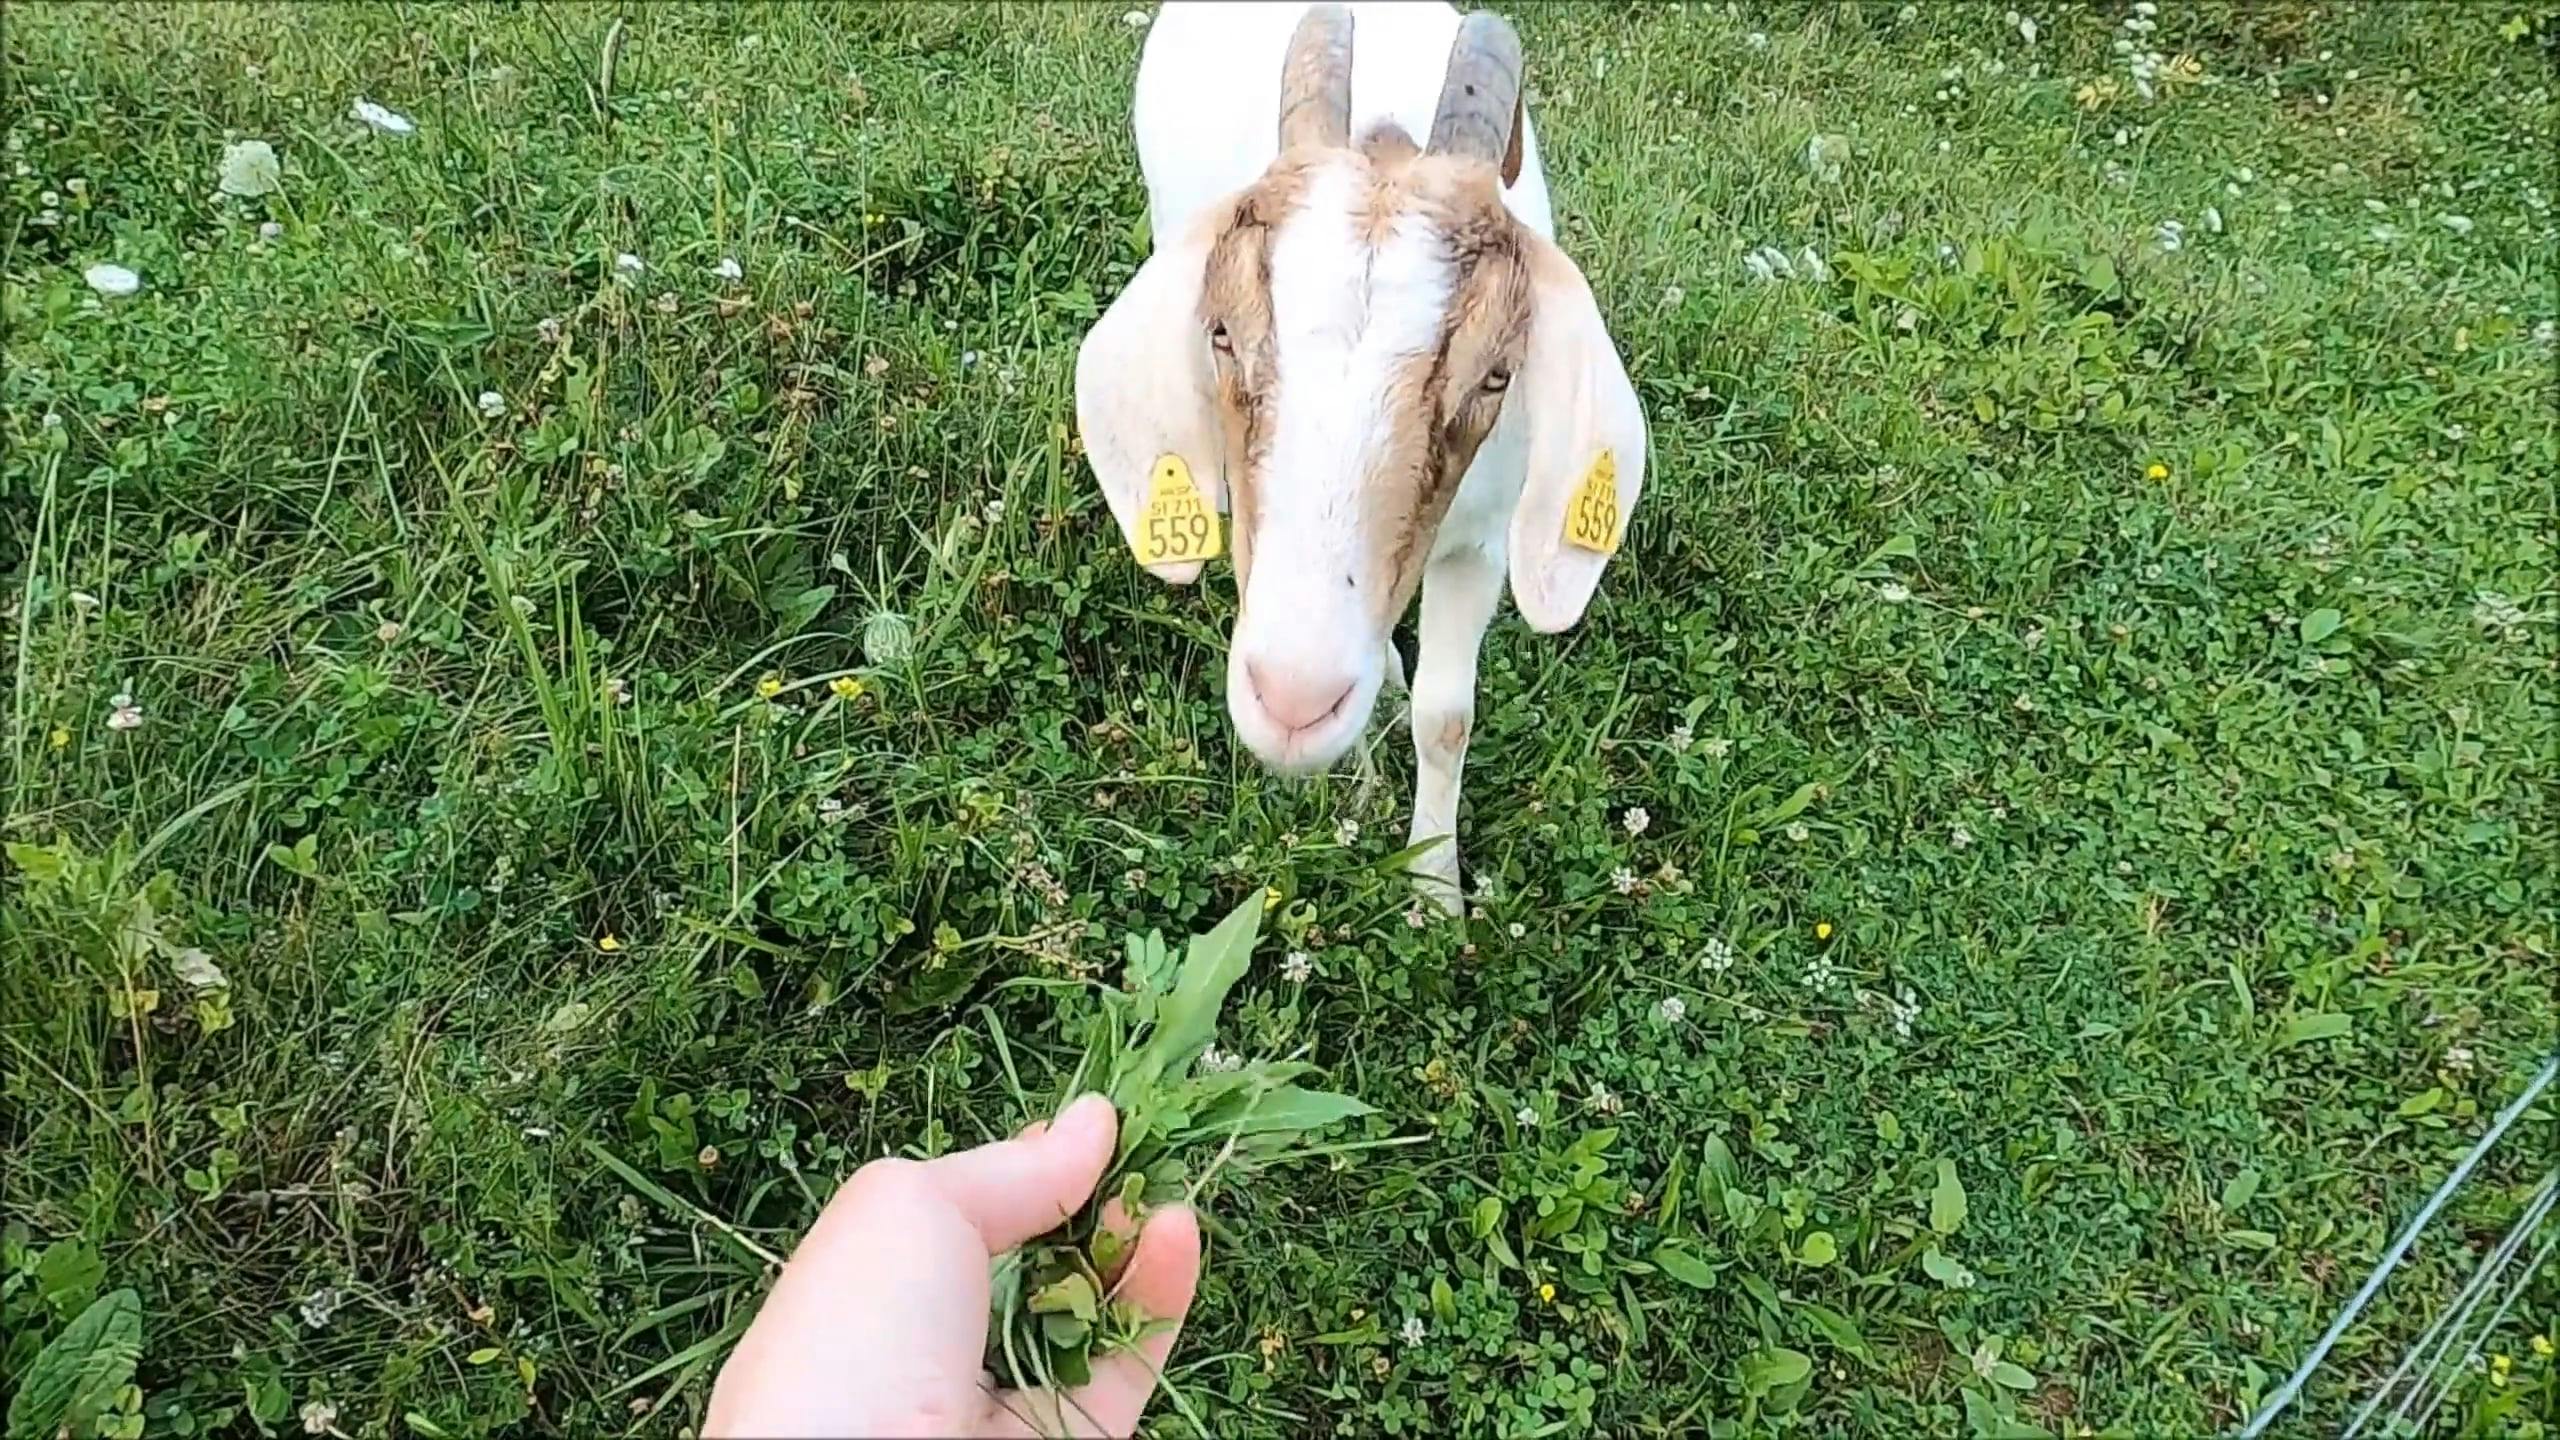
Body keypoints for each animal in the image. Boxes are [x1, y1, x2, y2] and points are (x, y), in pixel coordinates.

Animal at [1075, 1, 1646, 910]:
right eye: (1221, 333)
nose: (1293, 701)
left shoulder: (1479, 544)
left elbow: (1447, 716)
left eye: (1496, 373)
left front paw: (1435, 893)